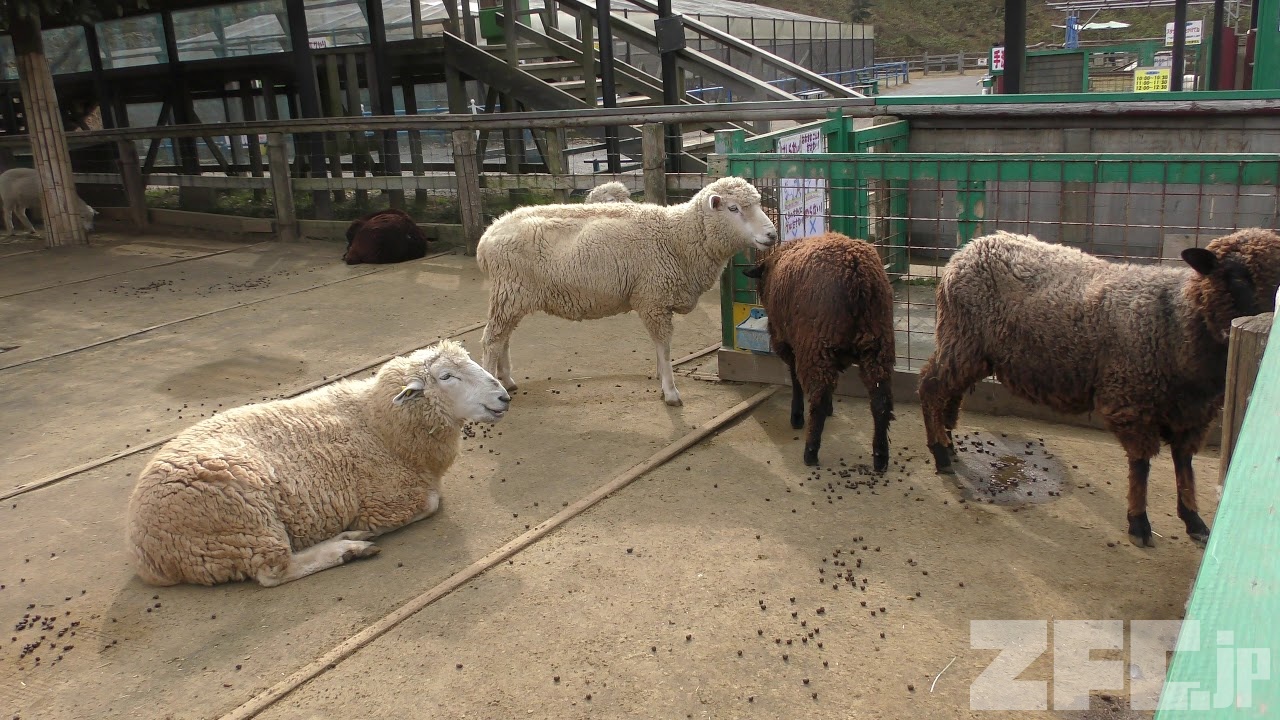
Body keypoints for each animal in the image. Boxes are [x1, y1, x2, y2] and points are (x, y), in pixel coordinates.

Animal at [126, 339, 511, 587]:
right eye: (446, 377)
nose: (503, 397)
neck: (377, 423)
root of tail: (145, 553)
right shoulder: (387, 495)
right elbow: (429, 504)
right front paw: (364, 528)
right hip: (242, 522)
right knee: (273, 573)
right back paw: (348, 548)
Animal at [476, 175, 779, 406]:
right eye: (733, 208)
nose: (772, 235)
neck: (677, 237)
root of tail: (488, 235)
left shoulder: (656, 301)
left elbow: (660, 348)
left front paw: (661, 377)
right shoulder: (653, 299)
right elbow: (664, 346)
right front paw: (670, 390)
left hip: (512, 296)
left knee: (503, 338)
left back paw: (507, 380)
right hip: (510, 291)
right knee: (491, 340)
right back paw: (492, 387)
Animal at [742, 232, 897, 469]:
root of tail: (856, 269)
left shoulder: (789, 343)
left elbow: (795, 379)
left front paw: (797, 416)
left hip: (815, 344)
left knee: (819, 397)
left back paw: (810, 451)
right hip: (878, 343)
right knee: (881, 400)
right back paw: (880, 457)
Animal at [917, 228, 1280, 548]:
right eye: (1236, 277)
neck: (1175, 320)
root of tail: (968, 250)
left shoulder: (1193, 415)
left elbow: (1183, 464)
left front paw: (1194, 521)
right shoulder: (1131, 399)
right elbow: (1141, 465)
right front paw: (1139, 523)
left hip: (969, 347)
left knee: (949, 391)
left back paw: (948, 443)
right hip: (963, 338)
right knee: (931, 387)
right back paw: (940, 453)